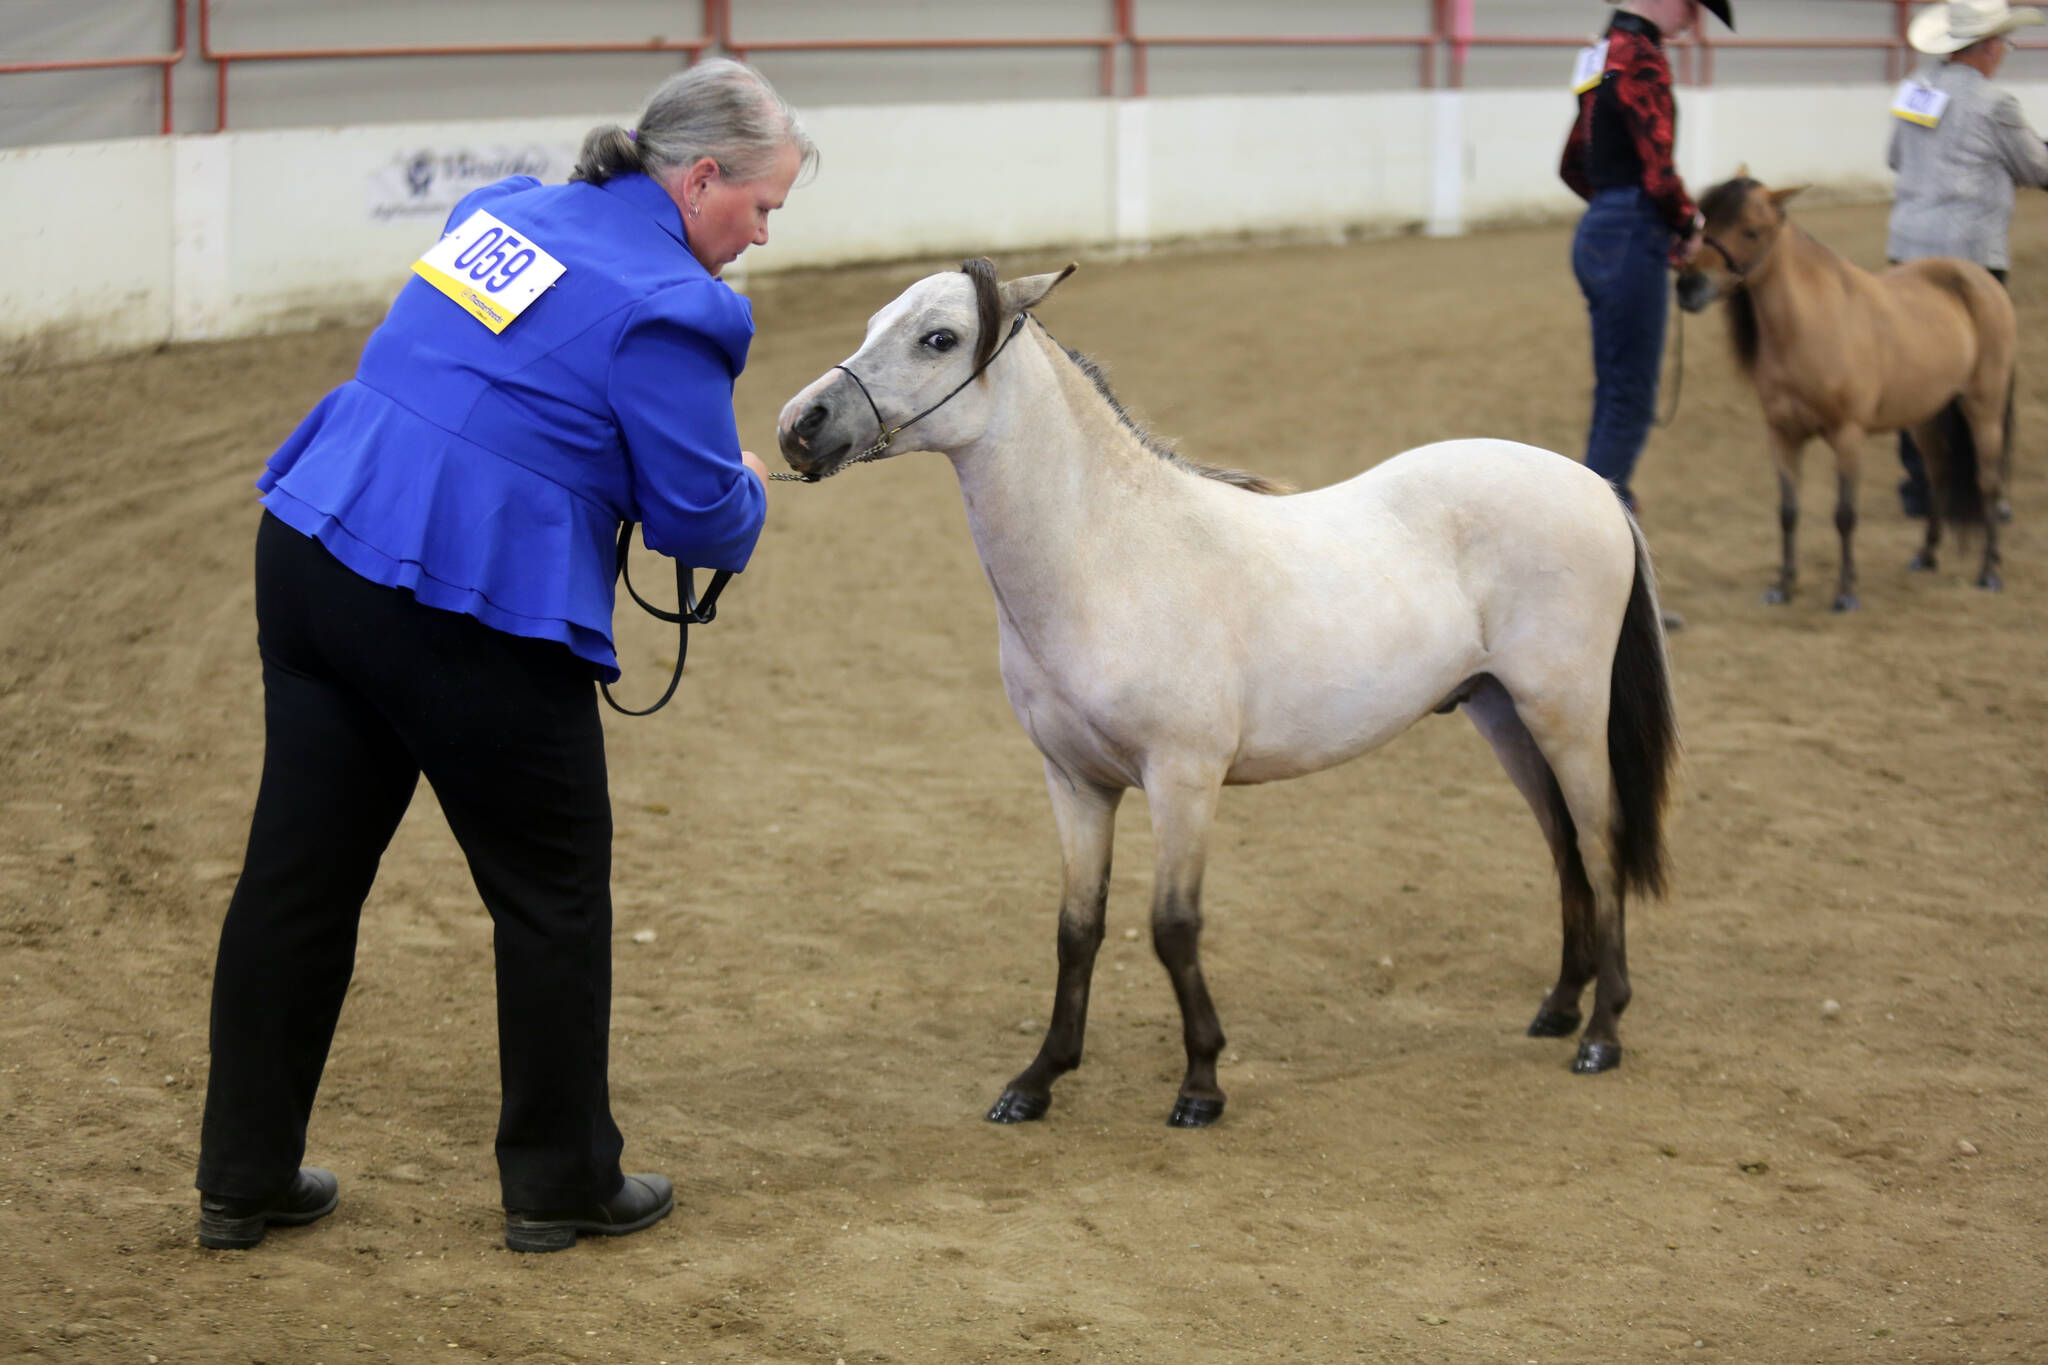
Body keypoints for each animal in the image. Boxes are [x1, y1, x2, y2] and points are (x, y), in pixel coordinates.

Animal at [775, 258, 1679, 1127]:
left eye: (939, 337)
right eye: (873, 322)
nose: (799, 425)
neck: (1108, 557)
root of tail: (1594, 485)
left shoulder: (1184, 780)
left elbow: (1173, 927)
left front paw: (1201, 1084)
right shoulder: (1075, 783)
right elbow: (1078, 929)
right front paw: (1035, 1082)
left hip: (1564, 714)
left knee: (1600, 842)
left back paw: (1601, 1033)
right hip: (1502, 715)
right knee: (1564, 848)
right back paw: (1559, 1008)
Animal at [1675, 174, 2016, 608]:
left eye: (1750, 231)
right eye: (1703, 223)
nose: (1688, 287)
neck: (1809, 326)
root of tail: (1980, 279)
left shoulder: (1848, 435)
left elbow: (1844, 515)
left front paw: (1845, 592)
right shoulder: (1782, 436)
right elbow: (1788, 512)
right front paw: (1783, 587)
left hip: (1984, 408)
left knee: (1988, 481)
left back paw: (1989, 572)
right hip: (1925, 415)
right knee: (1939, 472)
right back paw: (1926, 555)